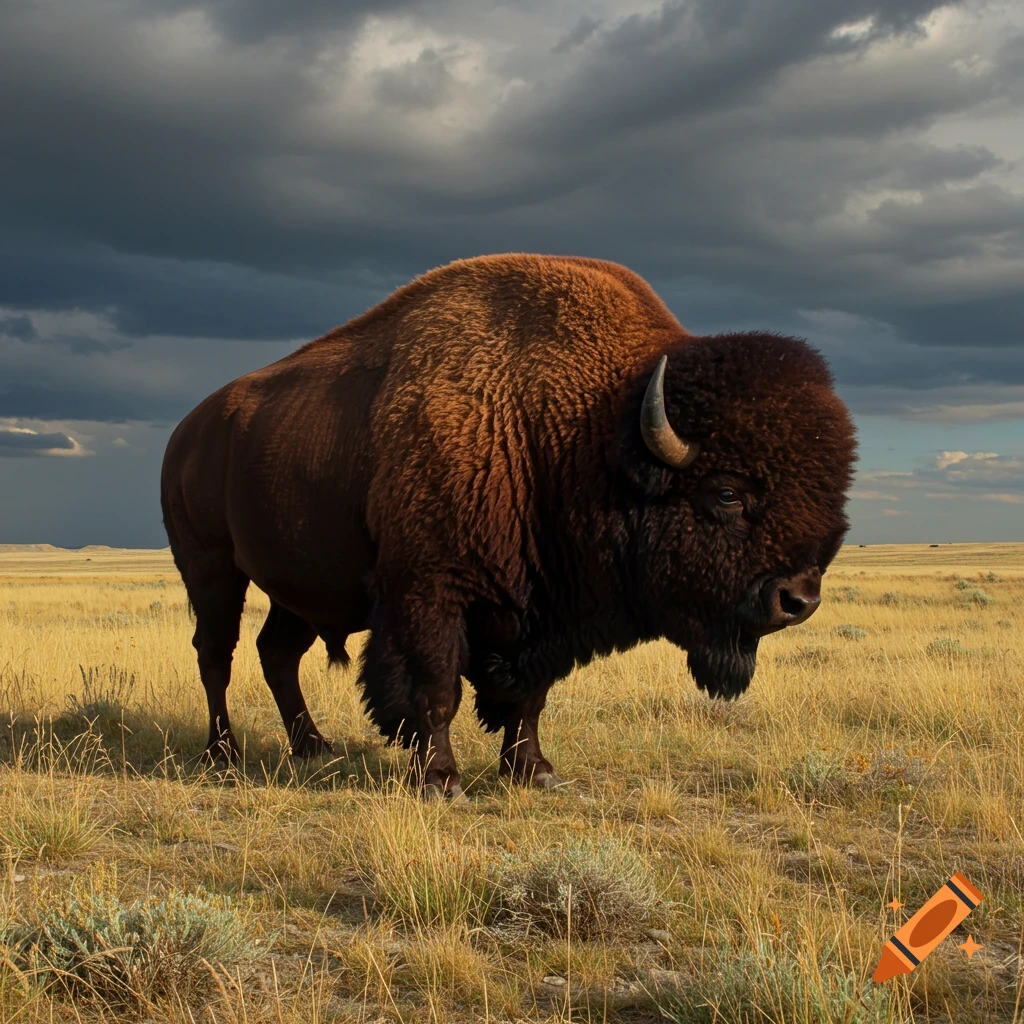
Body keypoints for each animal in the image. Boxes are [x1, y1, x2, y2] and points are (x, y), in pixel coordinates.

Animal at [161, 253, 856, 798]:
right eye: (727, 492)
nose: (797, 599)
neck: (583, 431)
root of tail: (187, 431)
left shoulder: (542, 607)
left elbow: (529, 696)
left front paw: (535, 771)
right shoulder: (429, 591)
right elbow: (435, 686)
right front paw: (440, 780)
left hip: (298, 589)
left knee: (276, 653)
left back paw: (313, 747)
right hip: (211, 568)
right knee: (215, 654)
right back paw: (222, 755)